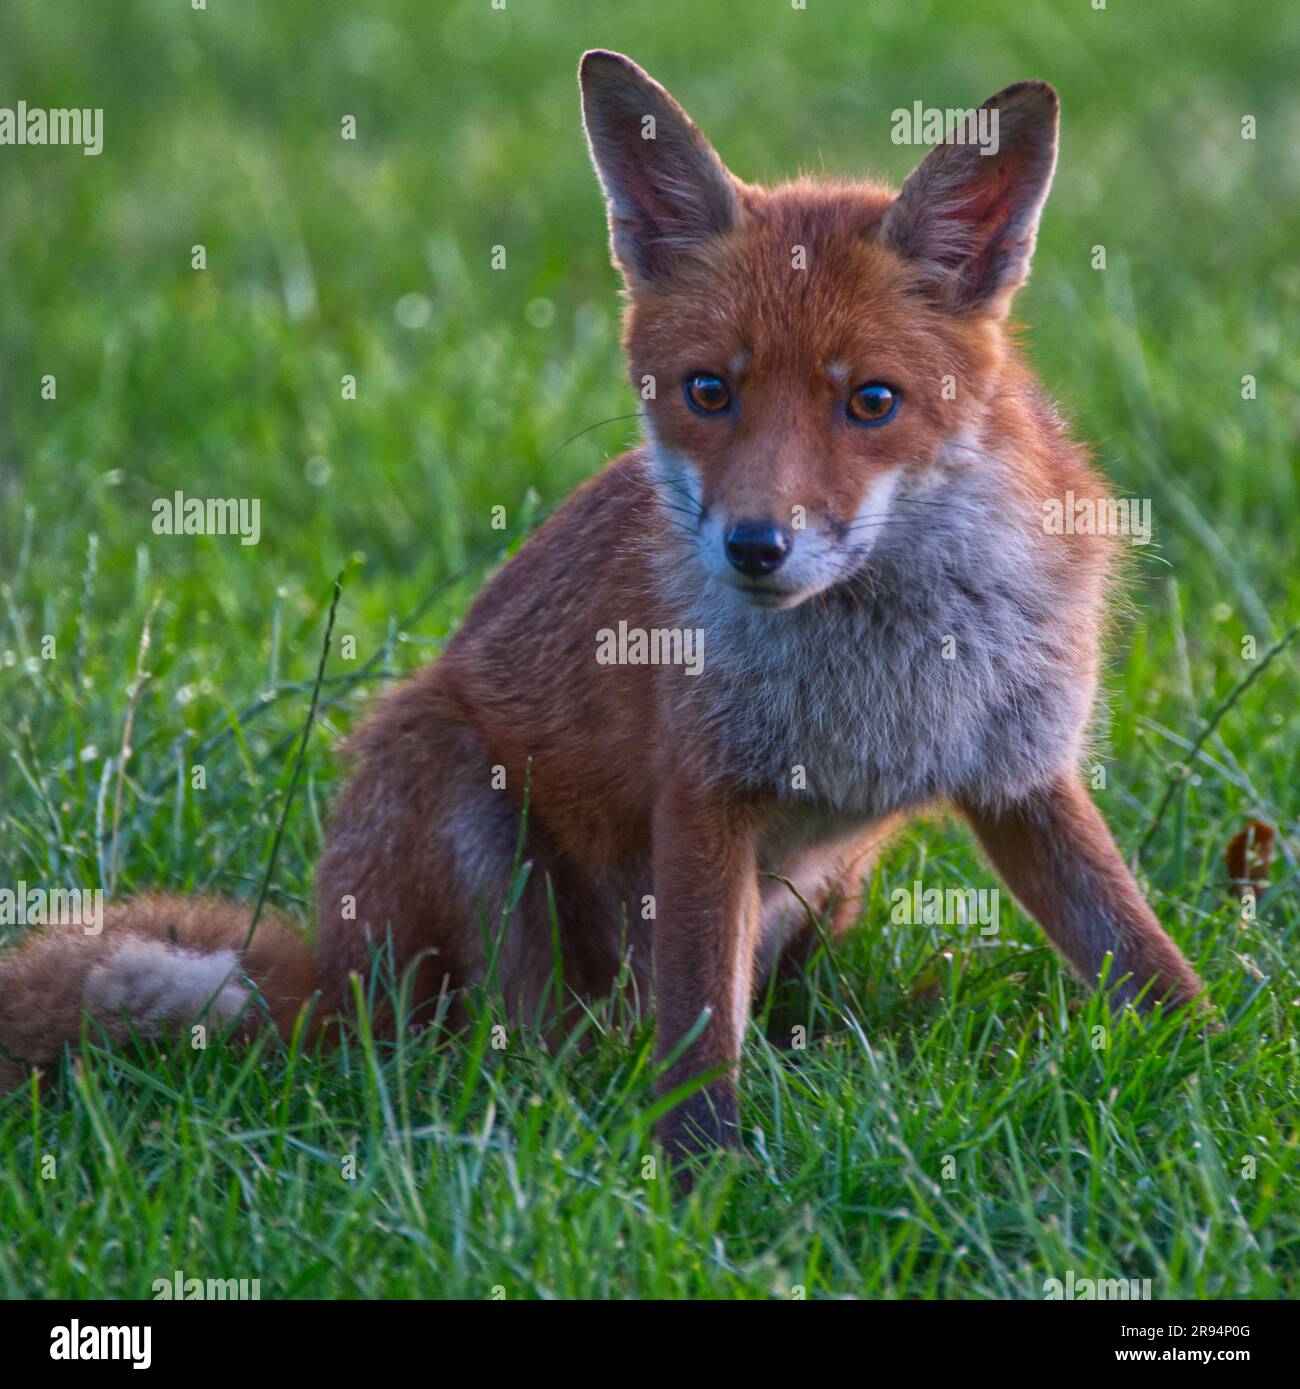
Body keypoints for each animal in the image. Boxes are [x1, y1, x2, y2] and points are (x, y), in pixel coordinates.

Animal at [0, 51, 1204, 1161]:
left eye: (872, 402)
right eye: (708, 391)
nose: (753, 546)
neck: (886, 654)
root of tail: (328, 982)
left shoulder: (1020, 773)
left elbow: (1147, 961)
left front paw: (1218, 1075)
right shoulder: (706, 789)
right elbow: (701, 1033)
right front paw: (706, 1179)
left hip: (828, 892)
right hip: (463, 801)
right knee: (512, 1052)